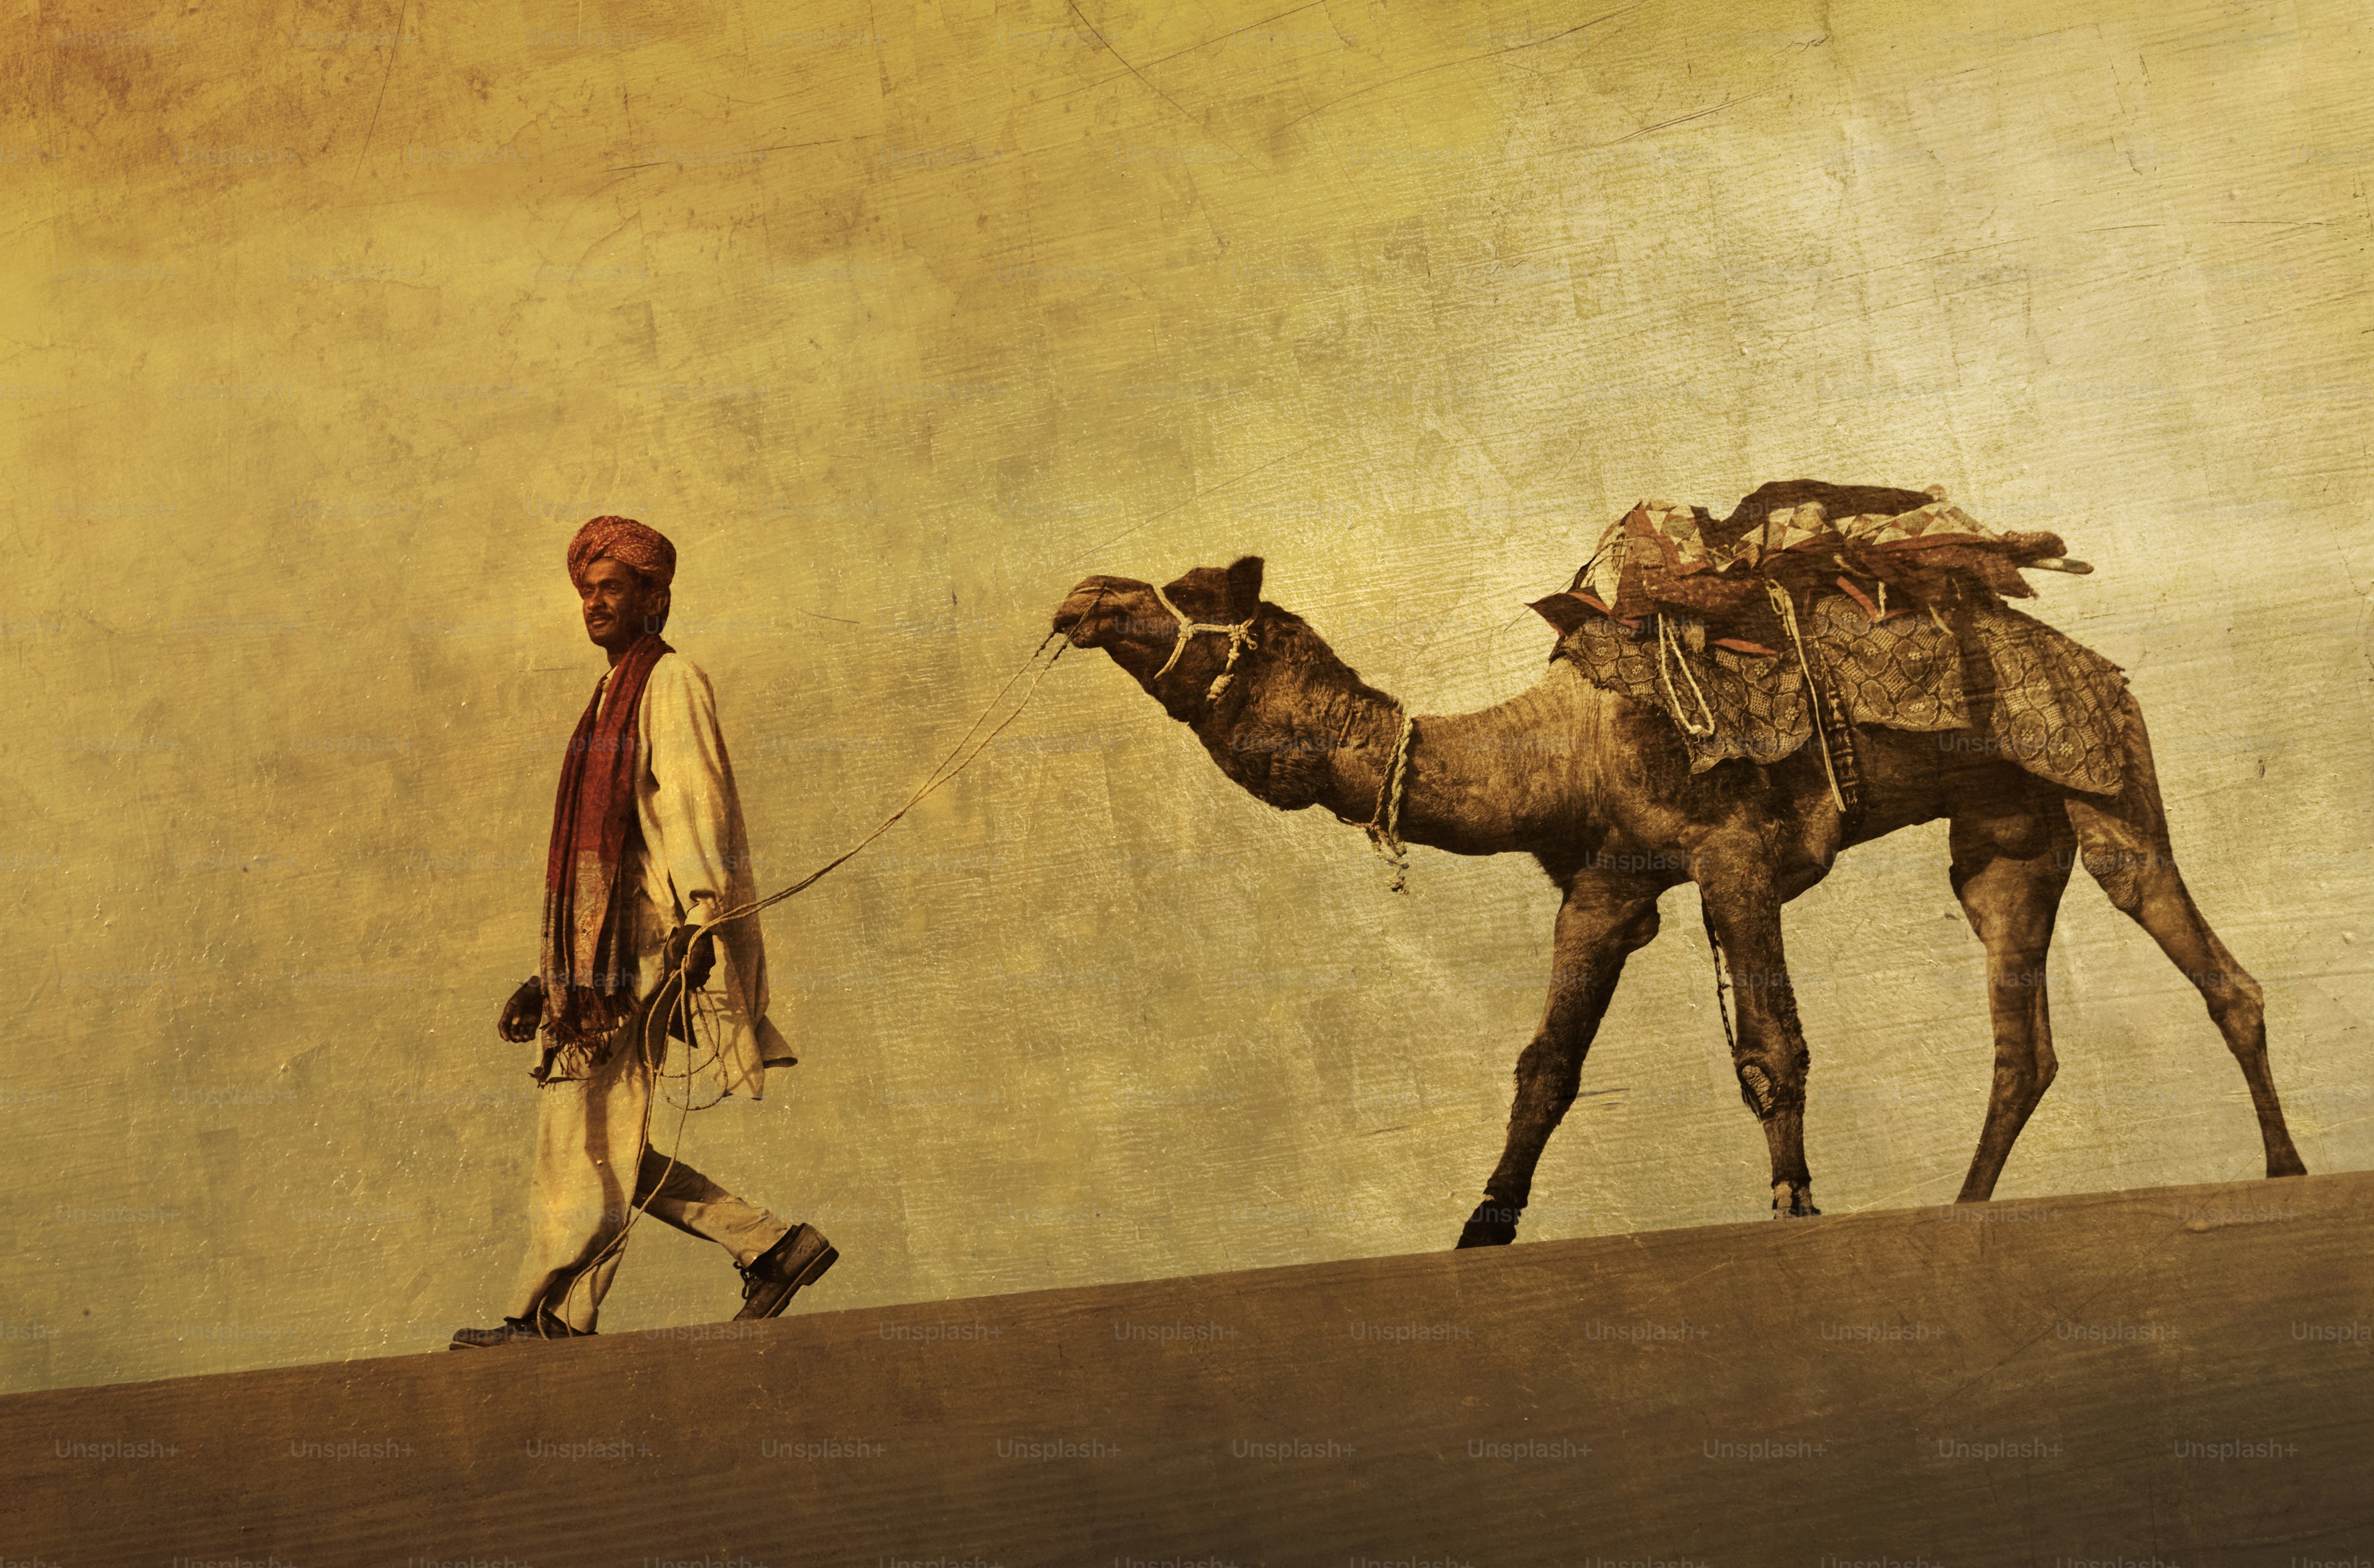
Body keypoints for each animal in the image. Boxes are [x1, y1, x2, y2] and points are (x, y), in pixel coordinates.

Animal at [1051, 521, 2307, 1248]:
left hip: (2105, 776)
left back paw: (2285, 1171)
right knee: (2023, 1040)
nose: (1084, 595)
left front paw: (1793, 1206)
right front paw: (1482, 1222)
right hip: (2003, 841)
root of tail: (2101, 669)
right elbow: (1544, 1065)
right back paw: (1963, 1207)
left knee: (2213, 967)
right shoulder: (1606, 886)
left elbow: (1769, 1048)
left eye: (1193, 598)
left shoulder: (1732, 851)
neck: (1563, 748)